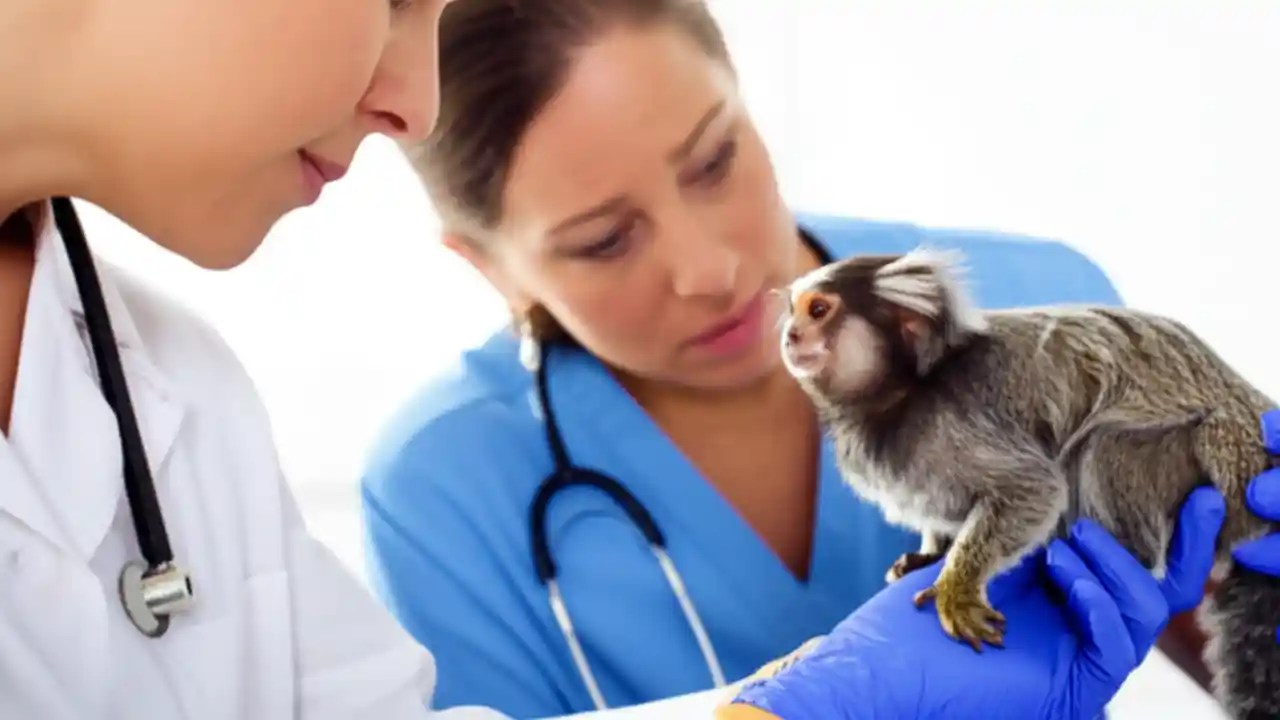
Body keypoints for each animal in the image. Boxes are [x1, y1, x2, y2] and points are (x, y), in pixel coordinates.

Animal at [775, 246, 1280, 719]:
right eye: (793, 311)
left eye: (818, 310)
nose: (790, 335)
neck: (905, 389)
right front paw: (930, 553)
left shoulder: (957, 424)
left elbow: (1034, 488)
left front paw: (957, 584)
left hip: (1202, 454)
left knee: (1103, 448)